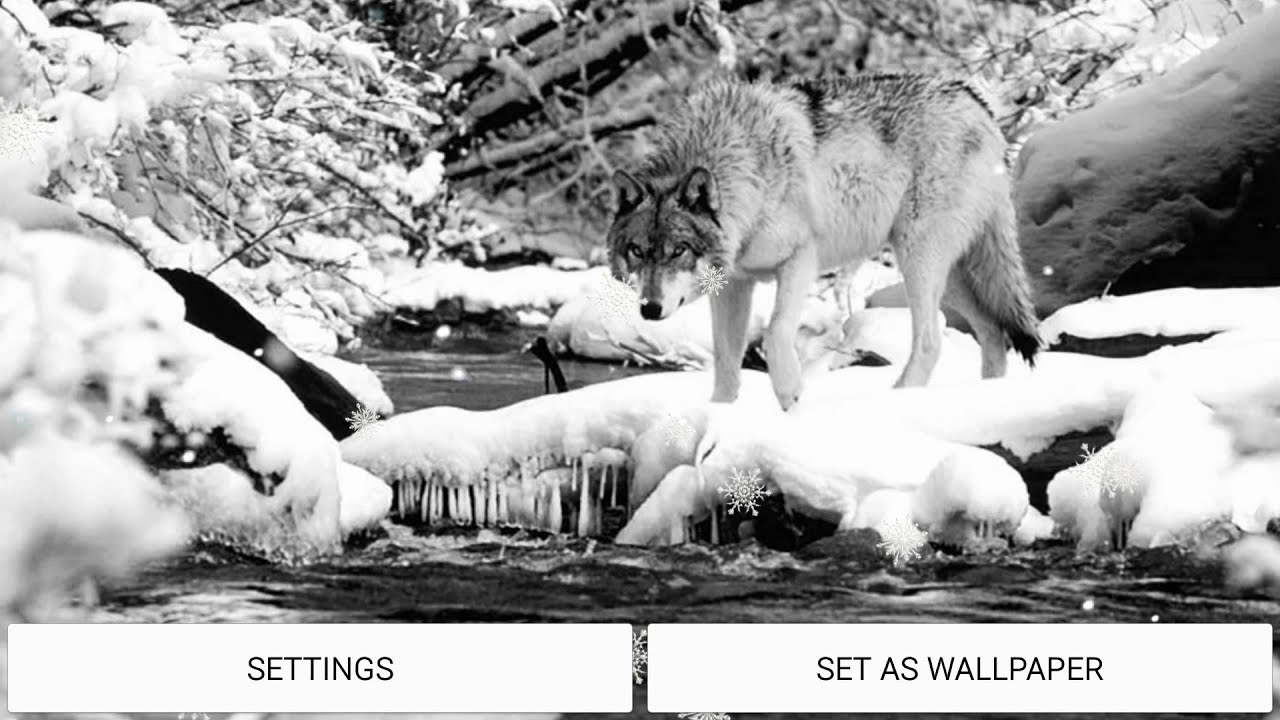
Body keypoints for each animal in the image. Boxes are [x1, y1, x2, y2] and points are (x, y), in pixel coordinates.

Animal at [607, 73, 1041, 410]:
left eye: (678, 250)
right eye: (637, 252)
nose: (649, 308)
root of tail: (979, 104)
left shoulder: (801, 260)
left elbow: (775, 331)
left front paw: (790, 394)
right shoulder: (733, 285)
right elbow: (727, 359)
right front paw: (719, 414)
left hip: (918, 257)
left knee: (932, 340)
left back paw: (897, 399)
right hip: (949, 276)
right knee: (993, 331)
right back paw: (983, 397)